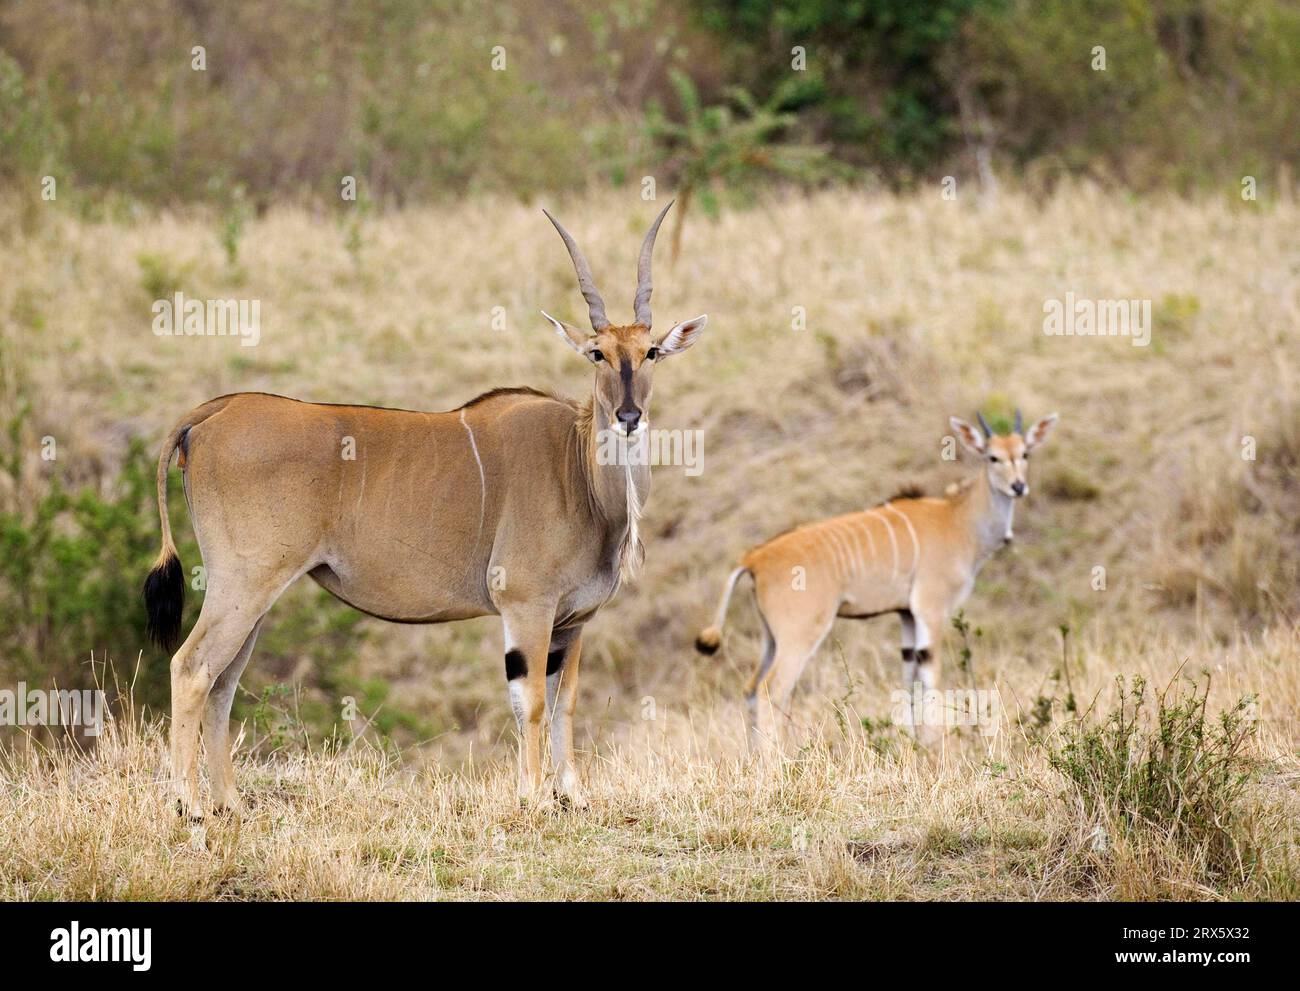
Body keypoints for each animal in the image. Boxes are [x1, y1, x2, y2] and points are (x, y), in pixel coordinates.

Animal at [143, 202, 708, 816]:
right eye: (597, 353)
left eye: (650, 352)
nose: (629, 415)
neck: (578, 470)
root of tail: (212, 415)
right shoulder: (527, 606)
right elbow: (532, 702)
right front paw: (532, 798)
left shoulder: (573, 621)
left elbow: (566, 704)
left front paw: (572, 796)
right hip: (242, 584)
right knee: (192, 667)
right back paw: (191, 805)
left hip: (254, 594)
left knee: (222, 680)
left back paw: (229, 803)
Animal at [695, 410, 1059, 750]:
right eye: (992, 457)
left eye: (1025, 453)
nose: (1018, 486)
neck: (958, 520)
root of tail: (755, 558)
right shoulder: (931, 608)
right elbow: (930, 675)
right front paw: (934, 745)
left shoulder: (907, 614)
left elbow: (910, 677)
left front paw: (916, 745)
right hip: (801, 633)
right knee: (772, 690)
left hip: (772, 638)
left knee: (751, 689)